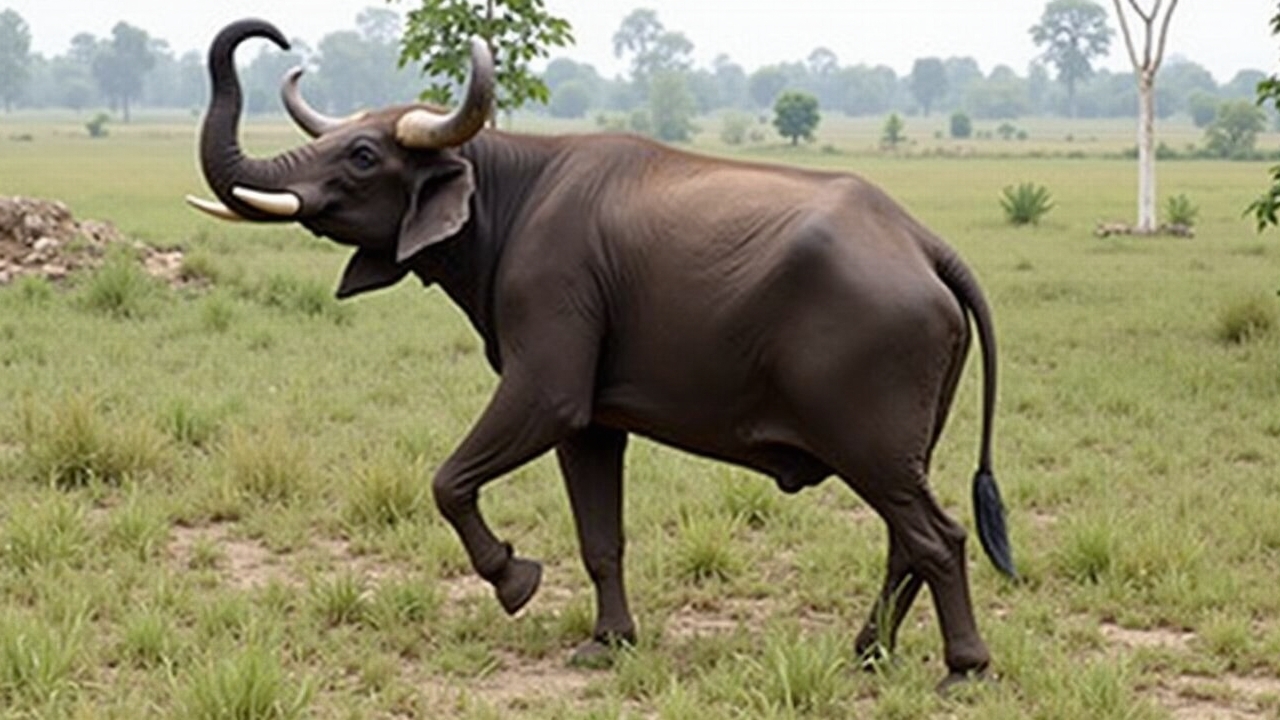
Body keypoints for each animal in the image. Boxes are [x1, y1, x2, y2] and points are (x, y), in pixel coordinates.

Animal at [187, 19, 1016, 688]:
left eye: (362, 155)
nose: (279, 38)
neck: (500, 162)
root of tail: (927, 245)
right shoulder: (592, 386)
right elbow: (595, 508)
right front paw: (605, 646)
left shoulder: (554, 295)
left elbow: (502, 440)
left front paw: (516, 581)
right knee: (904, 529)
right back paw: (867, 654)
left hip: (867, 384)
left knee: (932, 532)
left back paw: (963, 670)